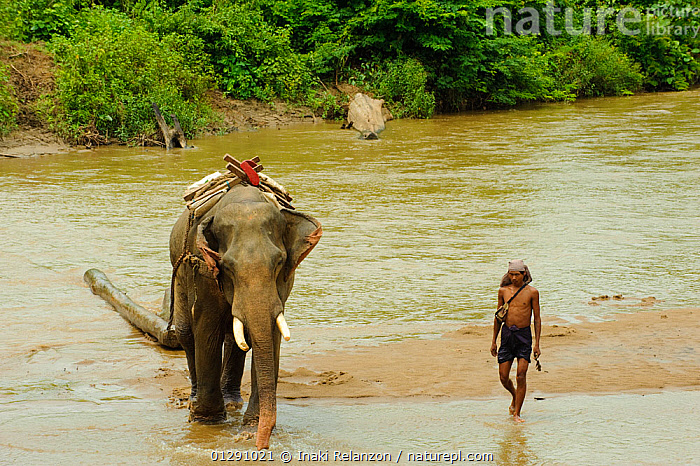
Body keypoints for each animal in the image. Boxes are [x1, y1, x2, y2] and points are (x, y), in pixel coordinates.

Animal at [169, 183, 322, 450]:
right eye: (227, 266)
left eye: (279, 262)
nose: (261, 445)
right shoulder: (203, 269)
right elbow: (206, 325)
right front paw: (207, 422)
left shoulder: (284, 282)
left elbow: (270, 334)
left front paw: (250, 428)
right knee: (186, 333)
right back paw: (194, 400)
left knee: (235, 339)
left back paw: (232, 402)